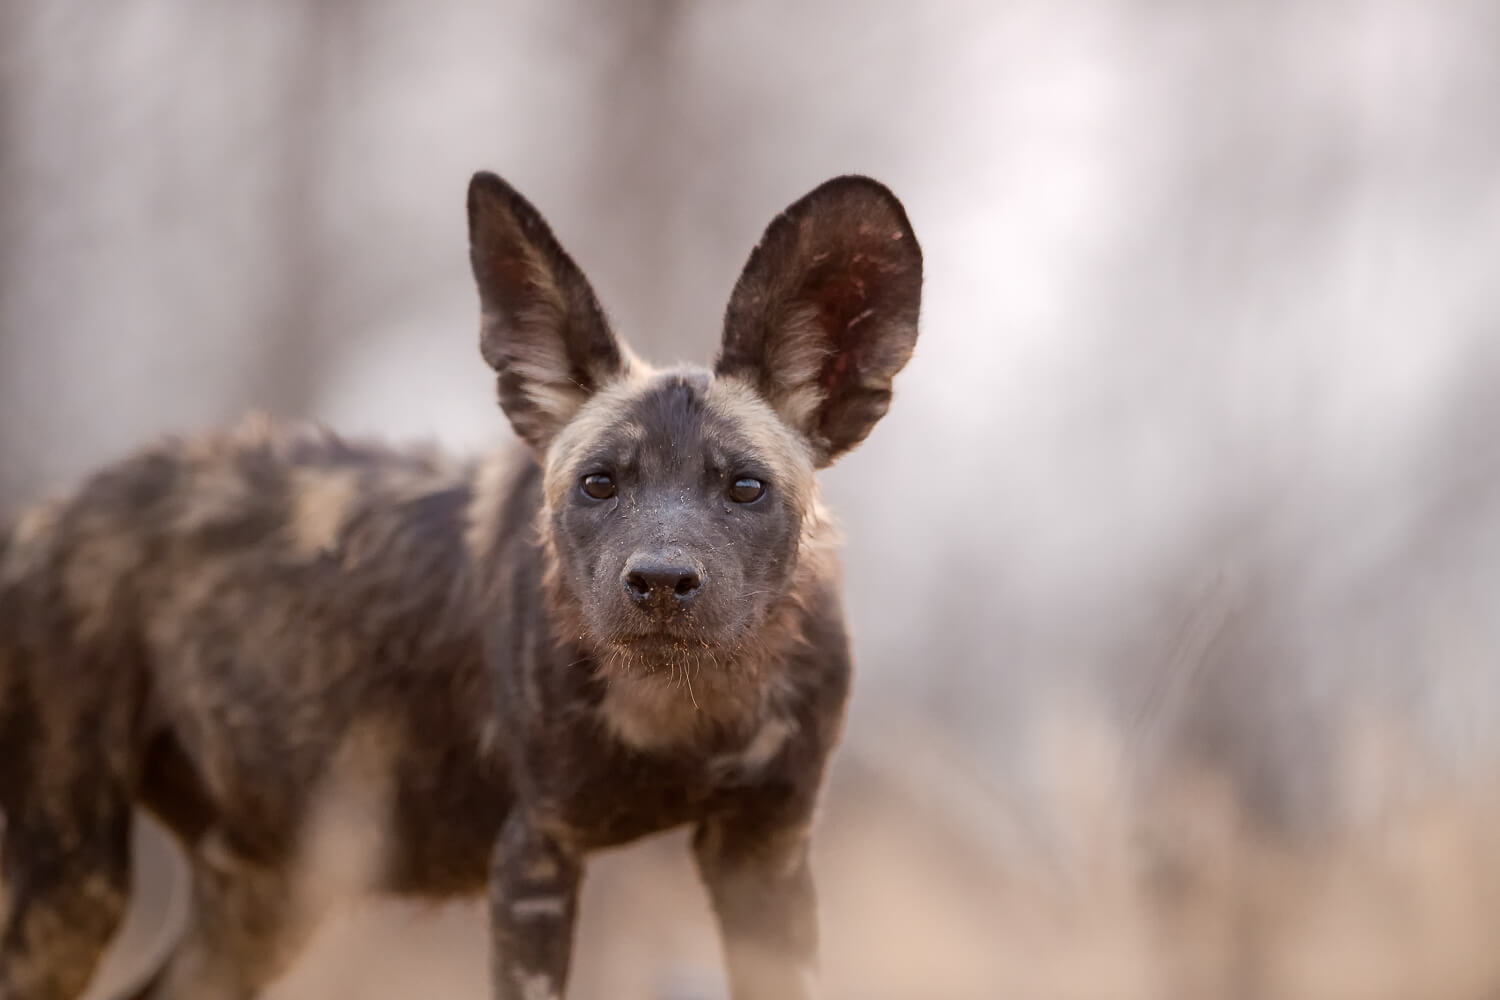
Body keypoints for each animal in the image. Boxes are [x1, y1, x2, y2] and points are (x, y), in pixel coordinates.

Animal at [0, 170, 923, 1000]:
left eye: (745, 488)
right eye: (598, 484)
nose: (661, 581)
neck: (688, 710)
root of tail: (50, 512)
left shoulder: (767, 858)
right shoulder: (536, 857)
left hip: (262, 901)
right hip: (70, 885)